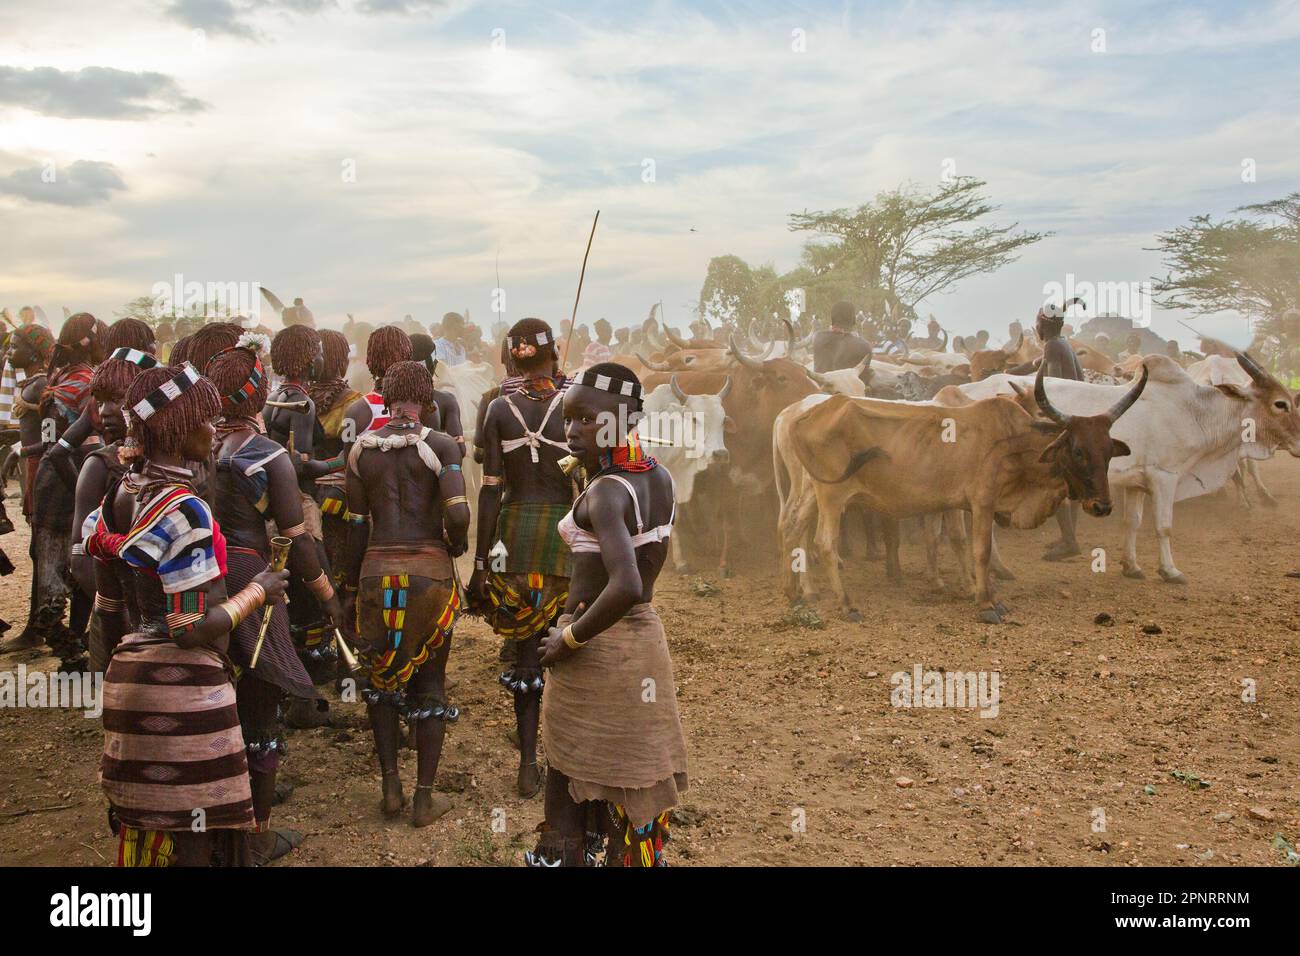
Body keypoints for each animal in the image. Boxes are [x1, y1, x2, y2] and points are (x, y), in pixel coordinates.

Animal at [781, 364, 1147, 622]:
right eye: (1078, 451)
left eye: (1107, 452)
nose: (1102, 506)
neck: (1013, 443)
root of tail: (802, 414)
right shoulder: (982, 502)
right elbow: (980, 550)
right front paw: (985, 602)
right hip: (832, 497)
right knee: (823, 543)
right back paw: (846, 605)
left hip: (813, 491)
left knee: (792, 528)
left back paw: (795, 592)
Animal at [962, 353, 1300, 582]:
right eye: (1280, 404)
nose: (1299, 441)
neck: (1194, 411)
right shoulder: (1165, 477)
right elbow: (1163, 526)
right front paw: (1171, 571)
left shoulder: (1137, 482)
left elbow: (1132, 523)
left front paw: (1132, 566)